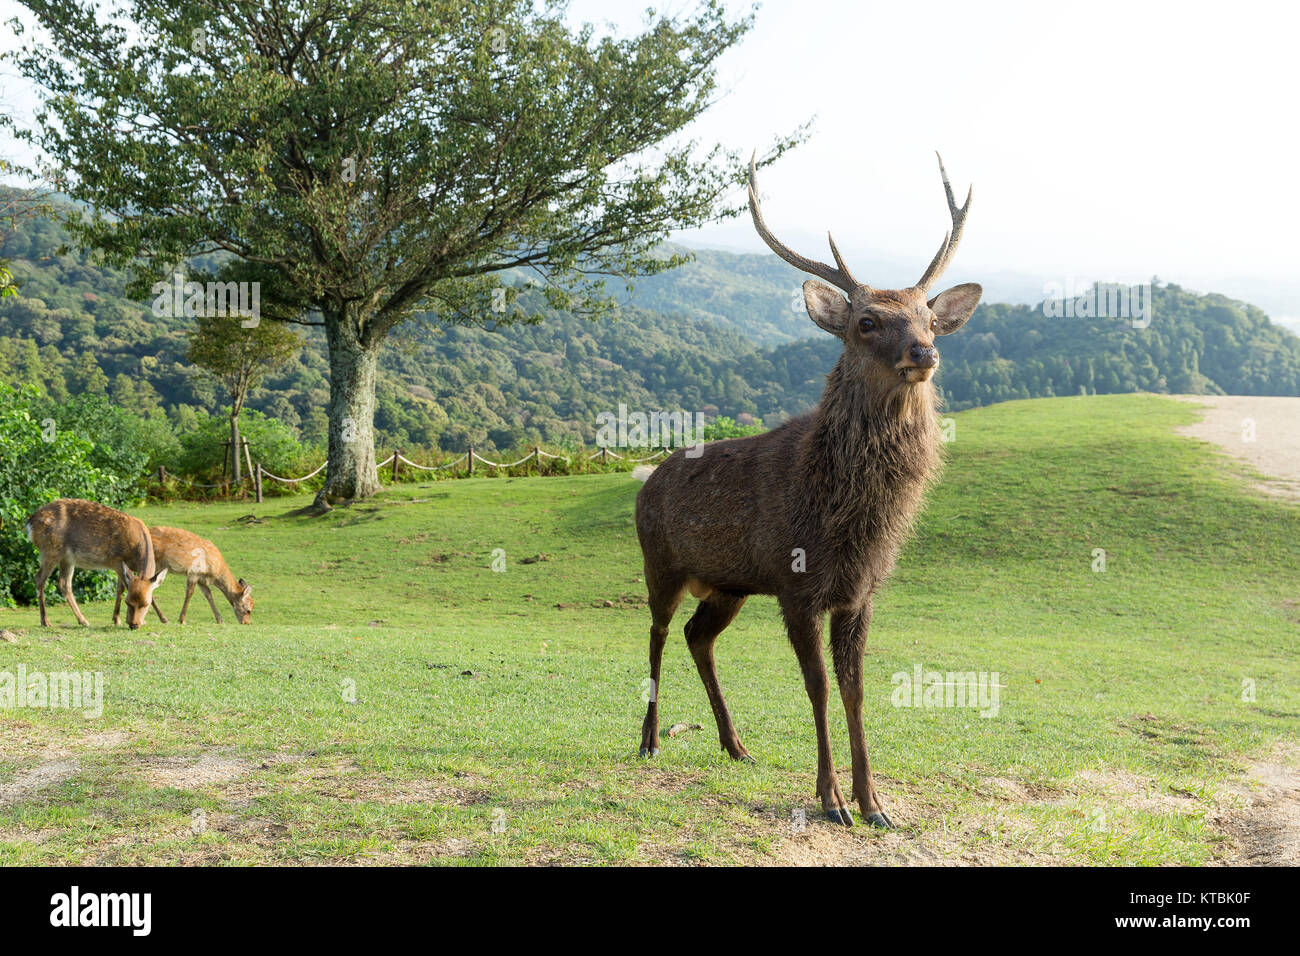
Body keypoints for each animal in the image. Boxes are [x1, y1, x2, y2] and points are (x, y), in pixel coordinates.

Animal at [26, 499, 168, 630]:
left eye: (145, 604)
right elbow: (123, 588)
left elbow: (122, 588)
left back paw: (82, 620)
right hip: (51, 549)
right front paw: (121, 619)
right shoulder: (116, 560)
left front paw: (163, 618)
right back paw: (45, 621)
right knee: (39, 579)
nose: (134, 624)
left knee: (63, 583)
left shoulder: (123, 565)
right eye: (128, 602)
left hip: (67, 558)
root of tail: (30, 523)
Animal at [634, 152, 982, 829]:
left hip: (729, 585)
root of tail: (645, 479)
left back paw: (735, 744)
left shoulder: (860, 593)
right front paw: (831, 799)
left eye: (930, 318)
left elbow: (856, 688)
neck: (848, 521)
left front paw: (876, 803)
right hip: (659, 561)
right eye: (866, 322)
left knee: (697, 636)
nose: (924, 352)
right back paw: (650, 739)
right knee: (658, 633)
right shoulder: (795, 587)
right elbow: (817, 686)